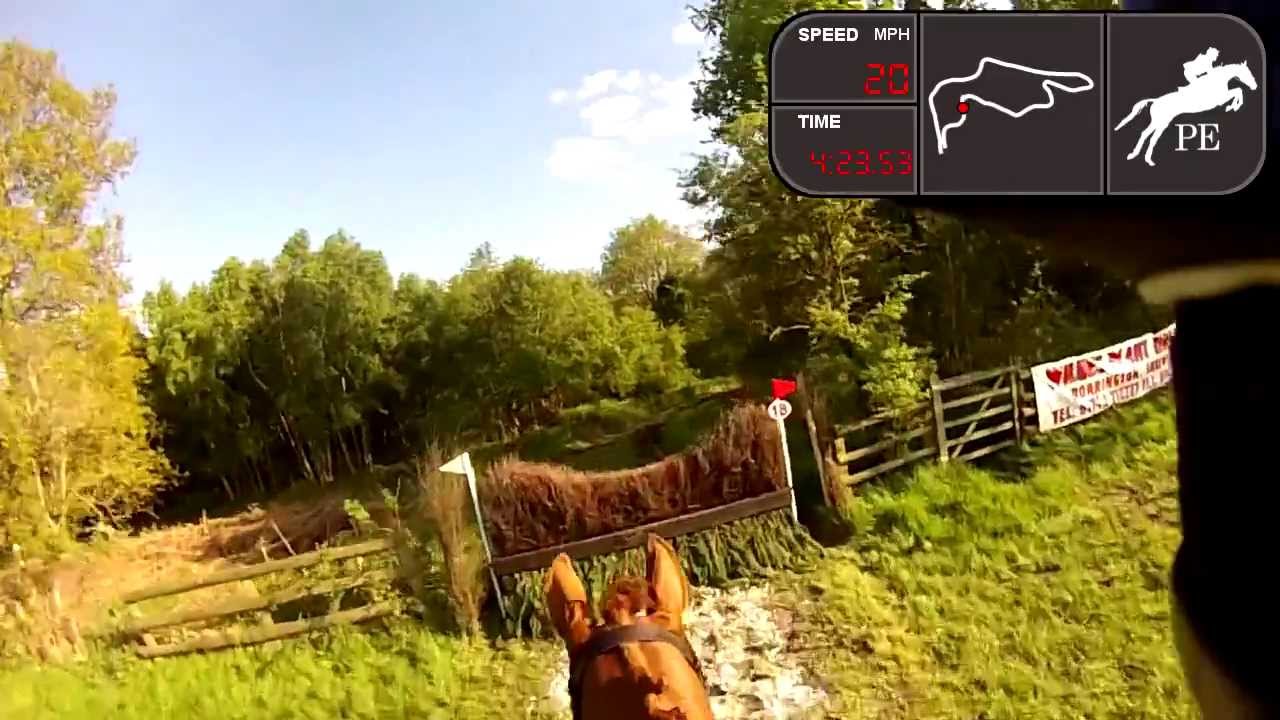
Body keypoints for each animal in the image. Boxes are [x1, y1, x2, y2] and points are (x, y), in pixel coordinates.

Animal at [1115, 60, 1259, 167]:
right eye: (1249, 73)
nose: (1255, 87)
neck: (1216, 81)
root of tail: (1155, 101)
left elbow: (1238, 91)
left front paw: (1232, 107)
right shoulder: (1218, 100)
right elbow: (1238, 91)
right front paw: (1233, 107)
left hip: (1159, 123)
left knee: (1148, 135)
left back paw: (1139, 157)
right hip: (1160, 122)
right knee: (1149, 136)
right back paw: (1143, 158)